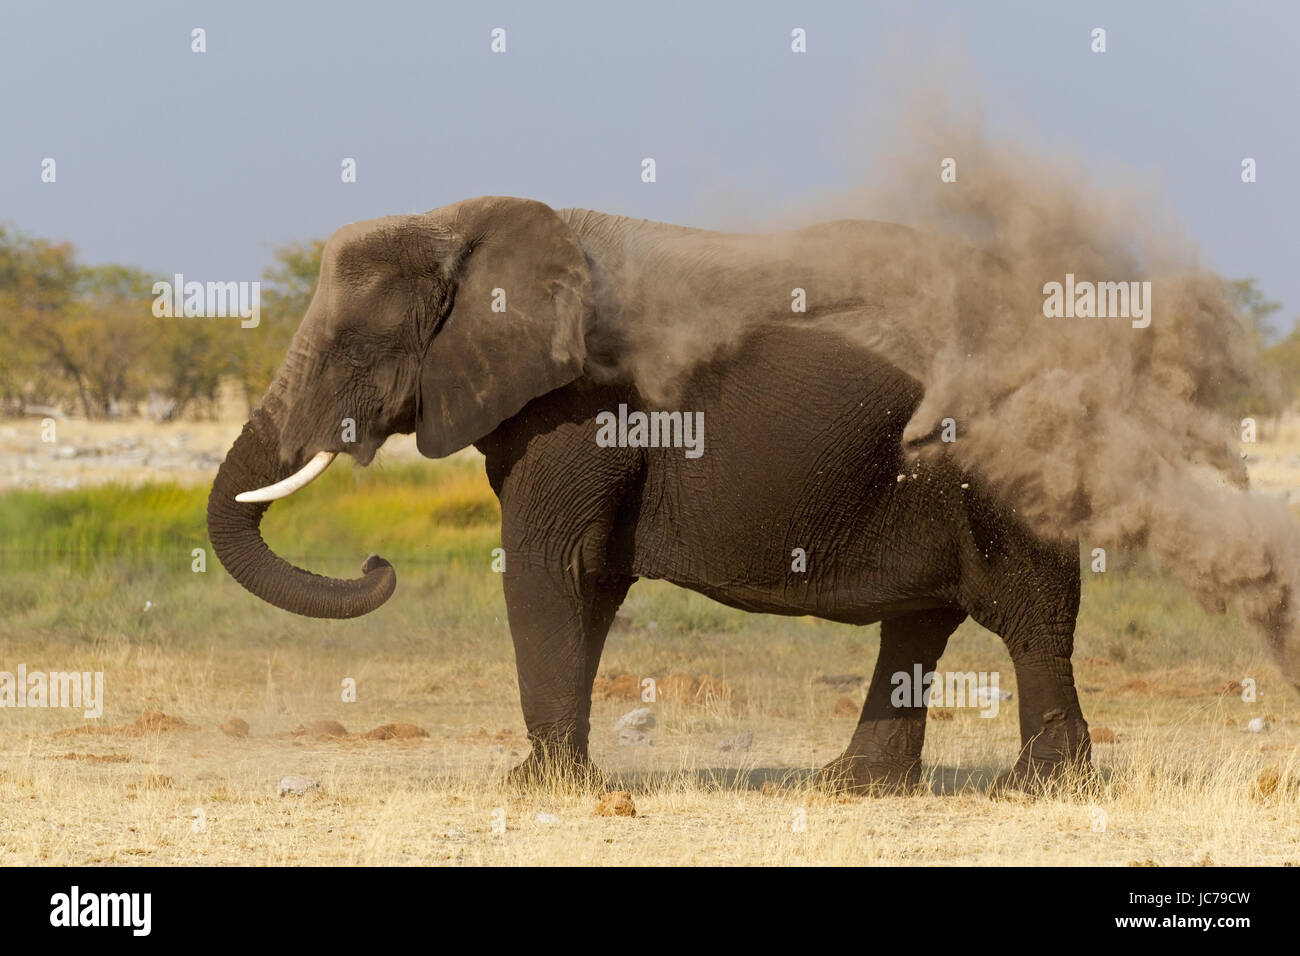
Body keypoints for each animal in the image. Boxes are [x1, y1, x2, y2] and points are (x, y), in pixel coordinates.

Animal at [207, 195, 1090, 794]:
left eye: (355, 348)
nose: (376, 562)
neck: (458, 225)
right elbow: (588, 580)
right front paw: (558, 777)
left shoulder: (582, 406)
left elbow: (549, 566)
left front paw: (536, 788)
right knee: (918, 625)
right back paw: (854, 784)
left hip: (1011, 458)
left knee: (1029, 611)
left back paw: (1038, 788)